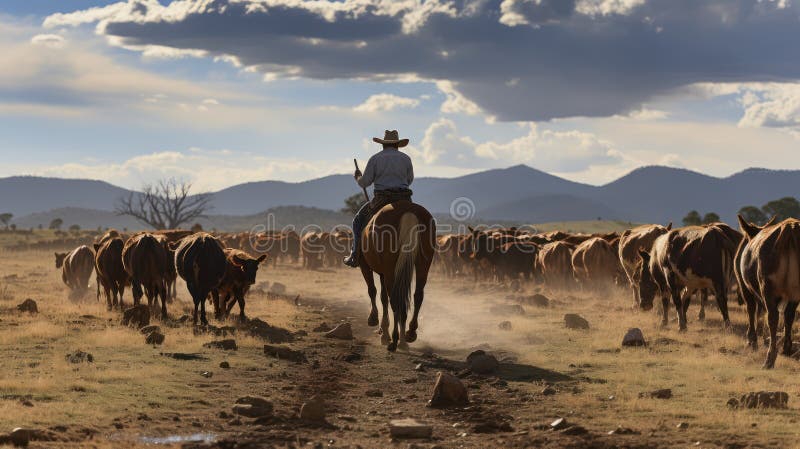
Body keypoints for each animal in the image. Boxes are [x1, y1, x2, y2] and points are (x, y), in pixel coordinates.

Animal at [737, 217, 800, 369]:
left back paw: (770, 358)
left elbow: (752, 311)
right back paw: (786, 349)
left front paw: (751, 341)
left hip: (768, 288)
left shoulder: (746, 289)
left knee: (773, 317)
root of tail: (791, 227)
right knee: (788, 315)